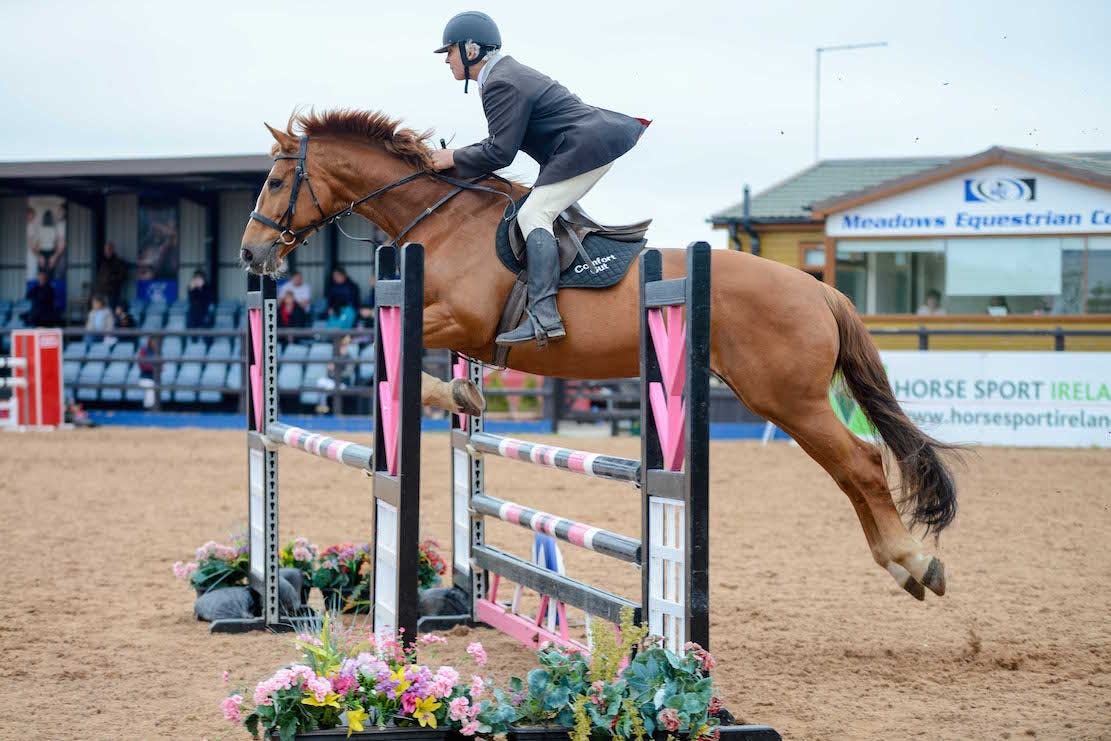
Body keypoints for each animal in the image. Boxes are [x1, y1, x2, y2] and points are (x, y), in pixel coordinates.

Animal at [239, 110, 958, 601]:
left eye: (273, 181)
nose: (251, 254)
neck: (442, 219)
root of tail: (817, 288)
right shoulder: (460, 331)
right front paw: (465, 394)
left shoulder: (459, 318)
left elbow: (394, 362)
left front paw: (454, 393)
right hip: (783, 398)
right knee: (850, 469)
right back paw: (901, 564)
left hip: (787, 397)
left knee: (860, 462)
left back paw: (913, 561)